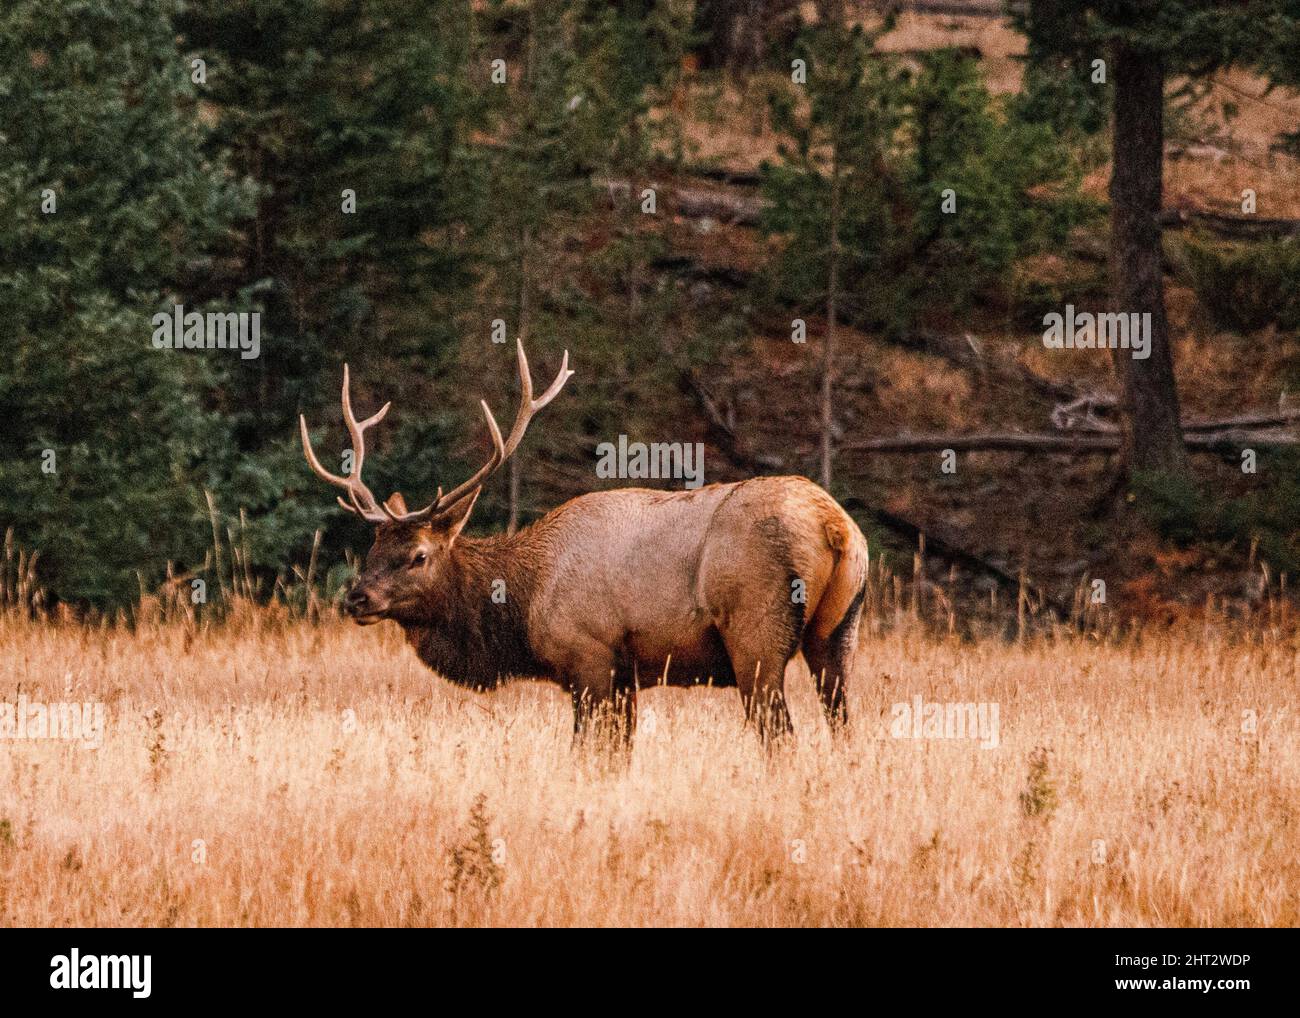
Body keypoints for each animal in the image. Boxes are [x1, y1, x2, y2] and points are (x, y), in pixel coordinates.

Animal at [300, 340, 869, 745]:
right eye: (372, 551)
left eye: (417, 556)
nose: (356, 598)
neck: (525, 601)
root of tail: (836, 527)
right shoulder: (627, 679)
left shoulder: (589, 658)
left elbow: (589, 753)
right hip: (838, 633)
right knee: (843, 727)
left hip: (755, 635)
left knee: (781, 737)